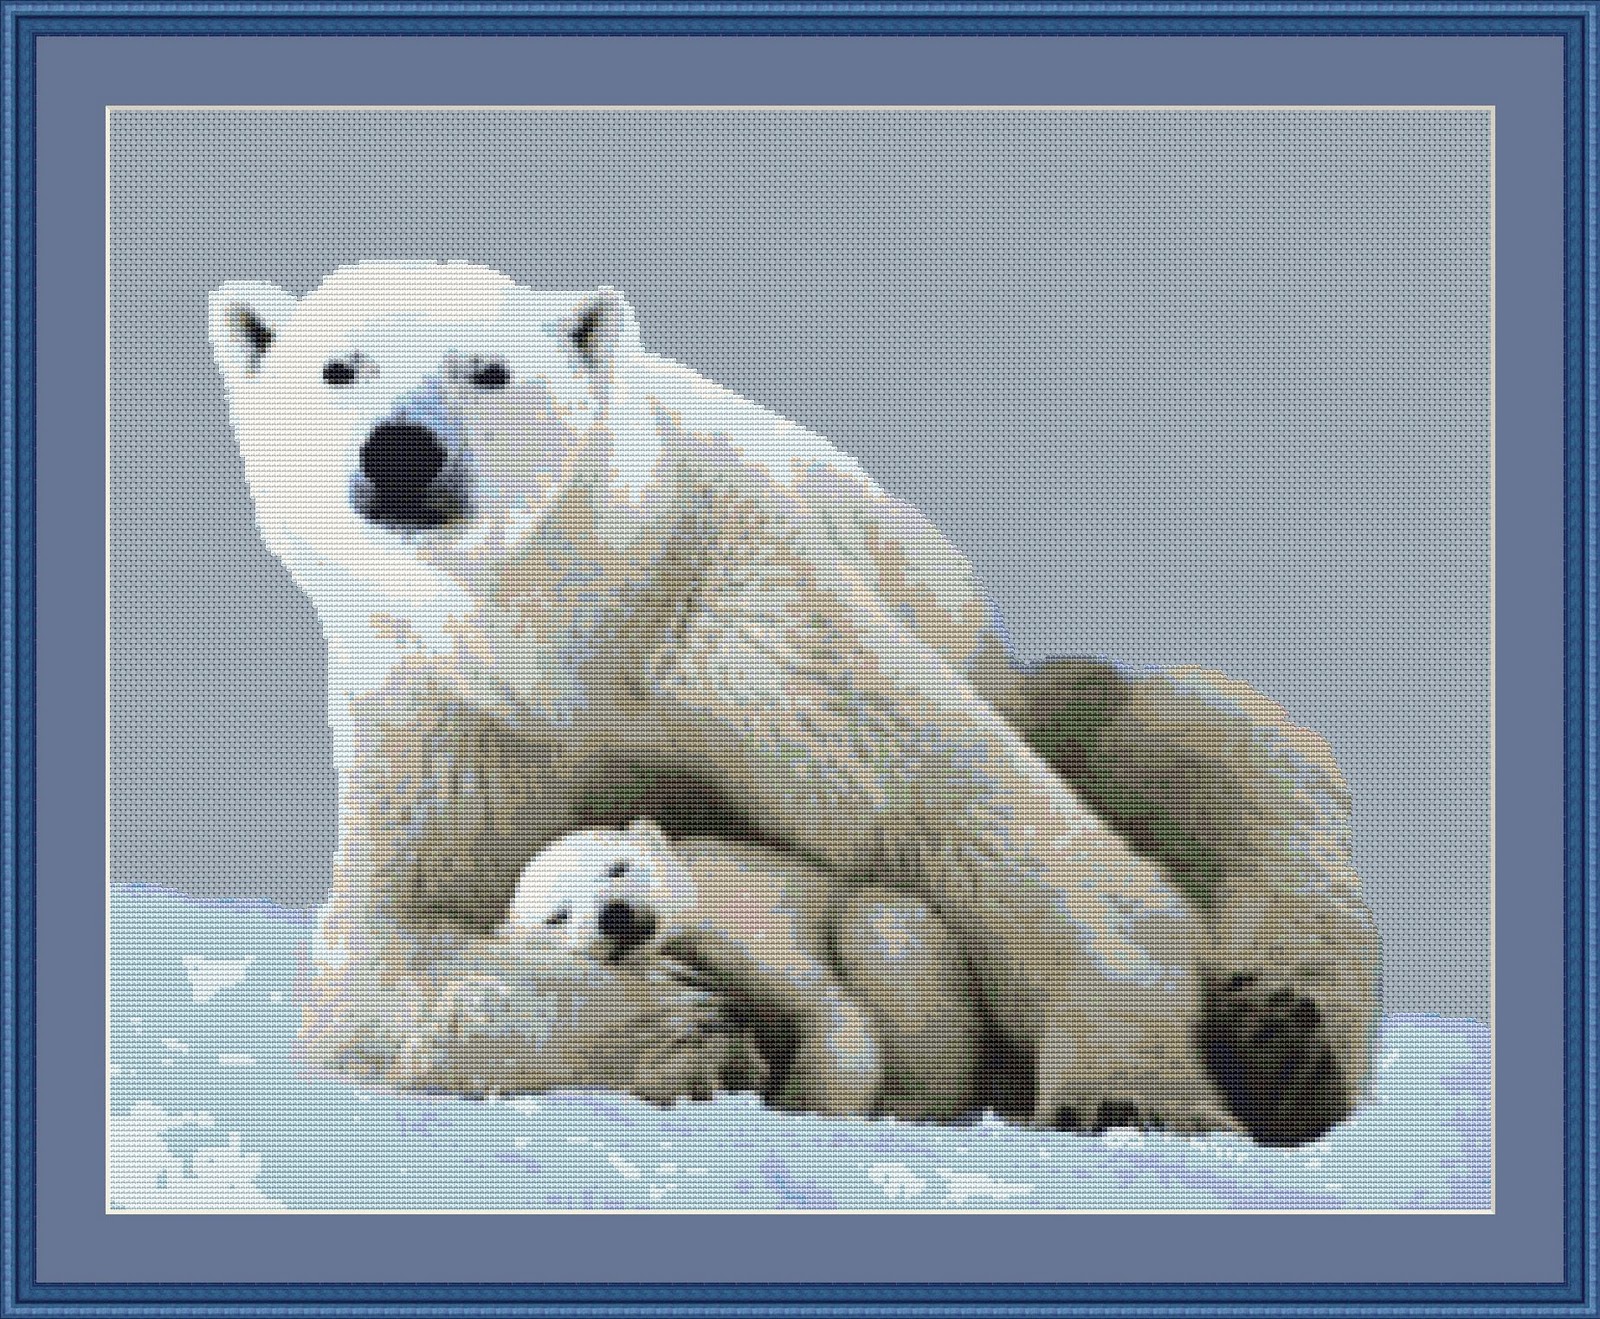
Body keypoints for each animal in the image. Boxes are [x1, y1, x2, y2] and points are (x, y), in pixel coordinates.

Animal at [503, 819, 984, 1121]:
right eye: (557, 916)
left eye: (617, 867)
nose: (615, 916)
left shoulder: (743, 919)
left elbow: (823, 1003)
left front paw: (803, 1103)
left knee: (875, 921)